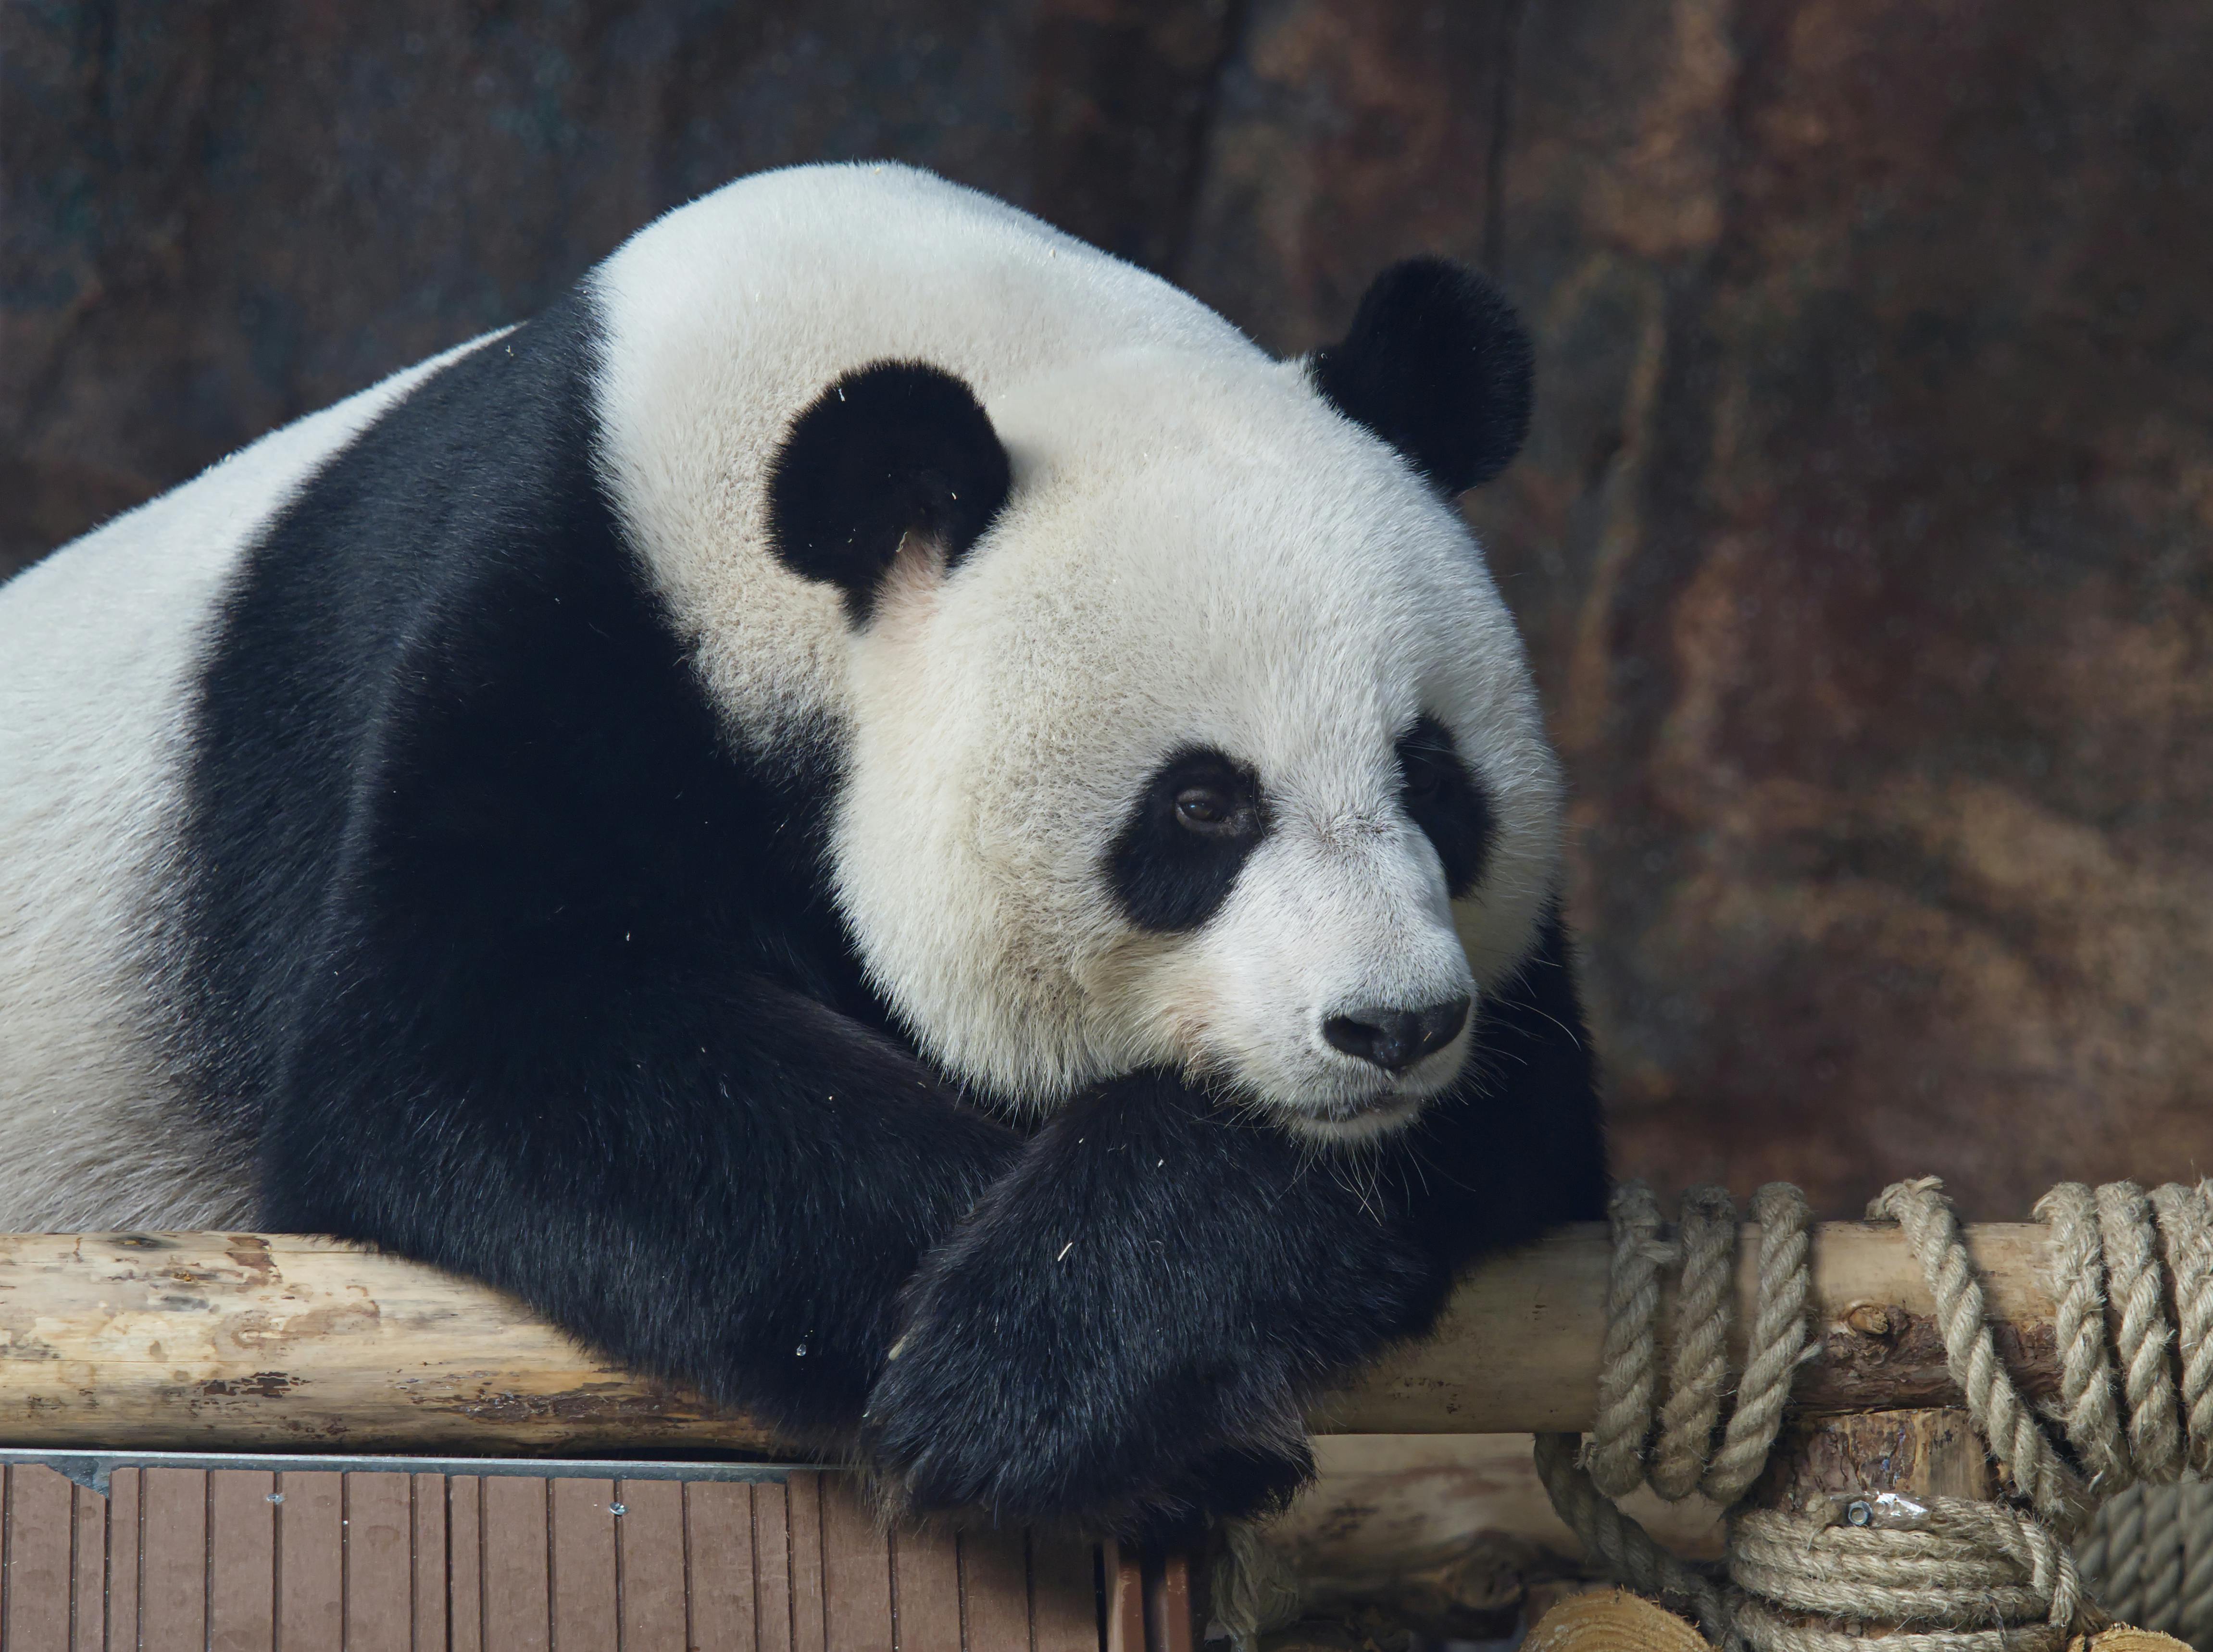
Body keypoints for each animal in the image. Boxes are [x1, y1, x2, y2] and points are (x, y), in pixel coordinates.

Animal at [0, 163, 1605, 1534]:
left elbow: (1526, 1109)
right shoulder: (548, 622)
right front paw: (1070, 1404)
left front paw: (1073, 1342)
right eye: (1201, 806)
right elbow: (469, 1049)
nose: (1393, 1023)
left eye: (1434, 777)